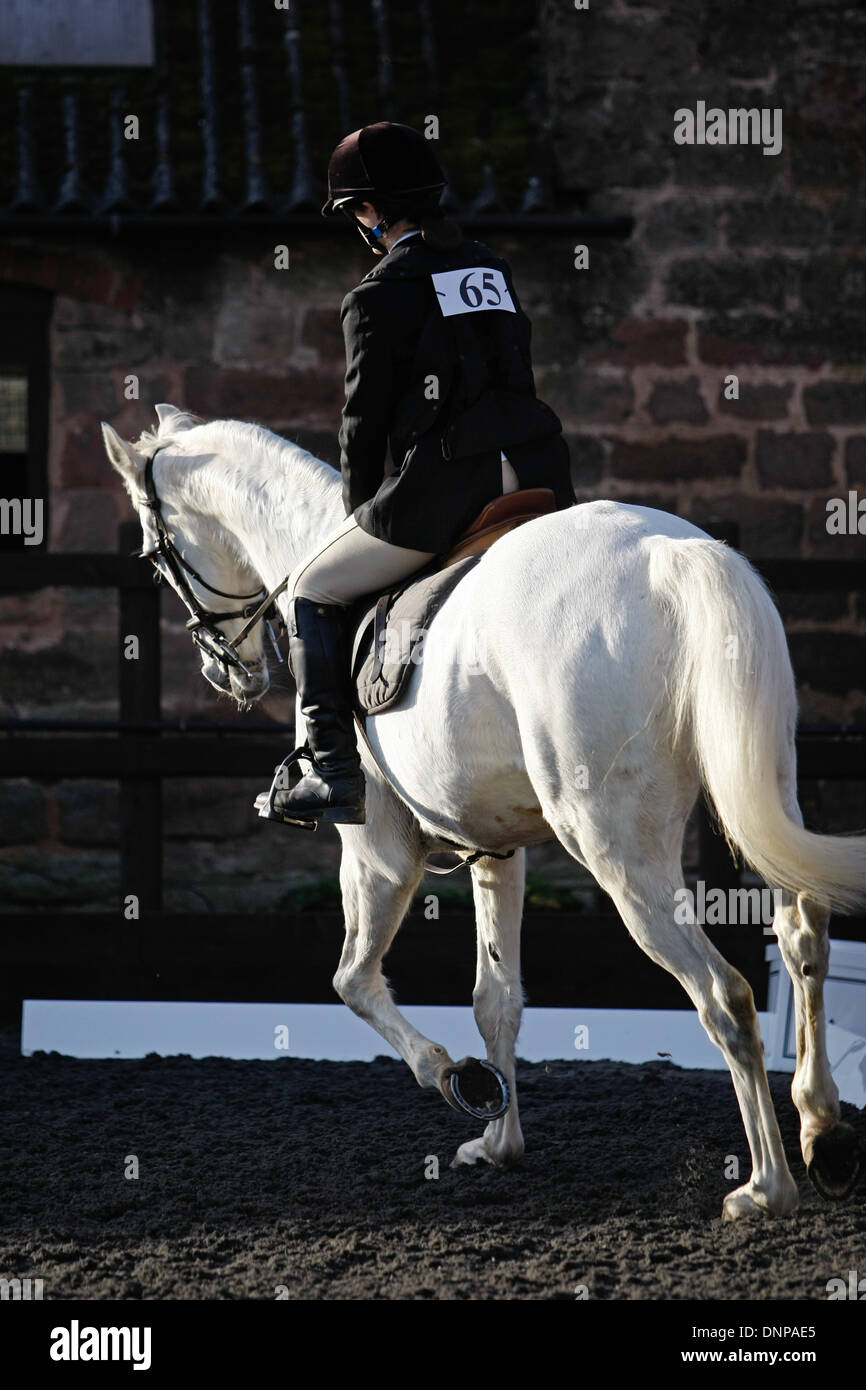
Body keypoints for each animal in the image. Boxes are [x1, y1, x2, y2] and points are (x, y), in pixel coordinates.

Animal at [102, 403, 866, 1221]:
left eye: (153, 554)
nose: (226, 673)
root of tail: (672, 556)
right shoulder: (498, 848)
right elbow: (494, 996)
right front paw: (500, 1144)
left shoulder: (376, 850)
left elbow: (352, 980)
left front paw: (456, 1078)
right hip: (758, 793)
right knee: (803, 936)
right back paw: (823, 1133)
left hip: (616, 849)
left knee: (725, 995)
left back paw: (765, 1187)